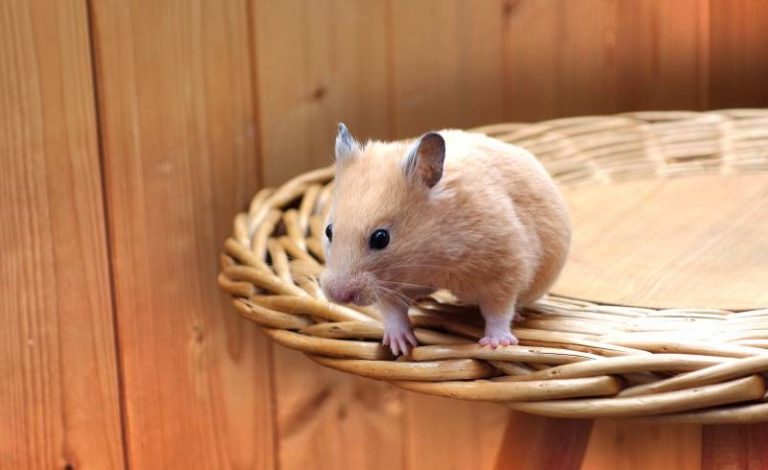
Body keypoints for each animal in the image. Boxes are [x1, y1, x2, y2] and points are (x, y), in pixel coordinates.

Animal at [320, 123, 571, 356]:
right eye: (329, 231)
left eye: (381, 238)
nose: (338, 296)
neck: (428, 257)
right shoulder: (387, 286)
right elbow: (392, 311)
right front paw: (400, 346)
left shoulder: (505, 269)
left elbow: (499, 310)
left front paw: (496, 344)